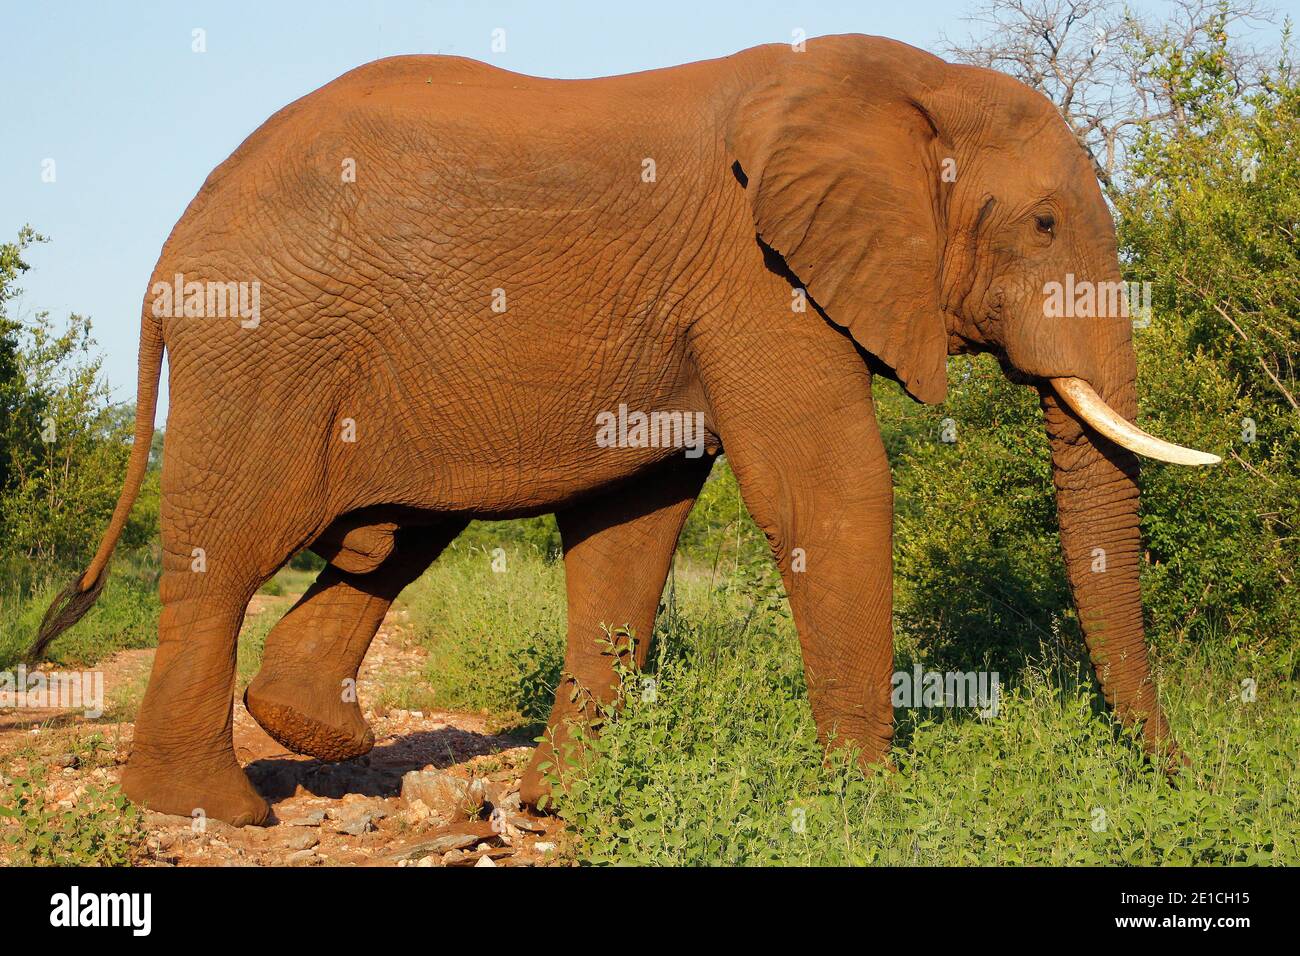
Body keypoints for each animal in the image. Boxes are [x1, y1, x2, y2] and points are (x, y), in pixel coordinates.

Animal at [32, 34, 1219, 826]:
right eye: (1045, 224)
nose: (1178, 780)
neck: (901, 80)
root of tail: (172, 245)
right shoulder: (757, 280)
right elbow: (829, 489)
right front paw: (867, 806)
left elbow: (630, 532)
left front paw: (557, 806)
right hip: (268, 347)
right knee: (229, 555)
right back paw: (212, 807)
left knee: (388, 538)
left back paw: (311, 736)